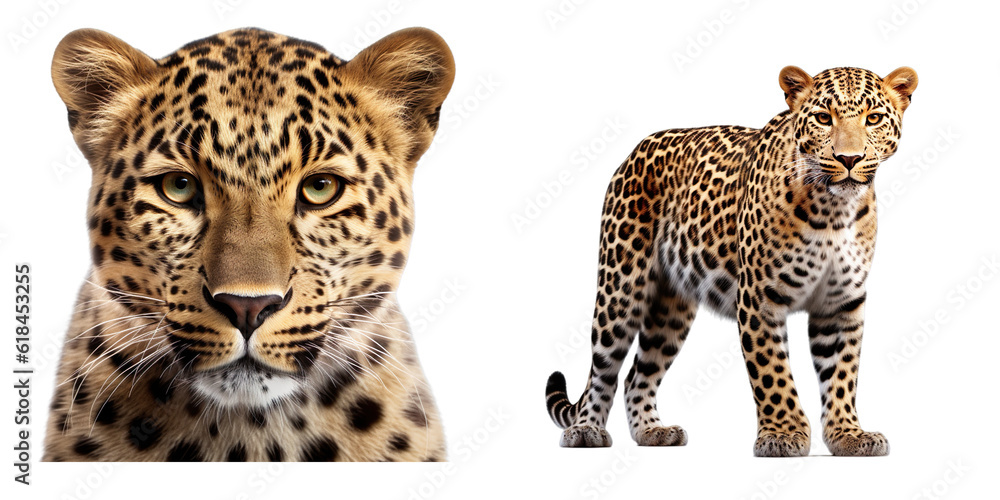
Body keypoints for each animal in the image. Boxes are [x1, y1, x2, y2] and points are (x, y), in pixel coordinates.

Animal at [545, 66, 918, 457]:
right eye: (822, 118)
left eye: (873, 119)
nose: (849, 159)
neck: (833, 211)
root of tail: (634, 151)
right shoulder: (759, 297)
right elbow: (772, 372)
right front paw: (782, 434)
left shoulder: (841, 303)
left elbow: (842, 374)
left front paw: (848, 434)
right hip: (620, 289)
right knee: (603, 369)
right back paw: (585, 430)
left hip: (671, 308)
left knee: (637, 374)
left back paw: (652, 431)